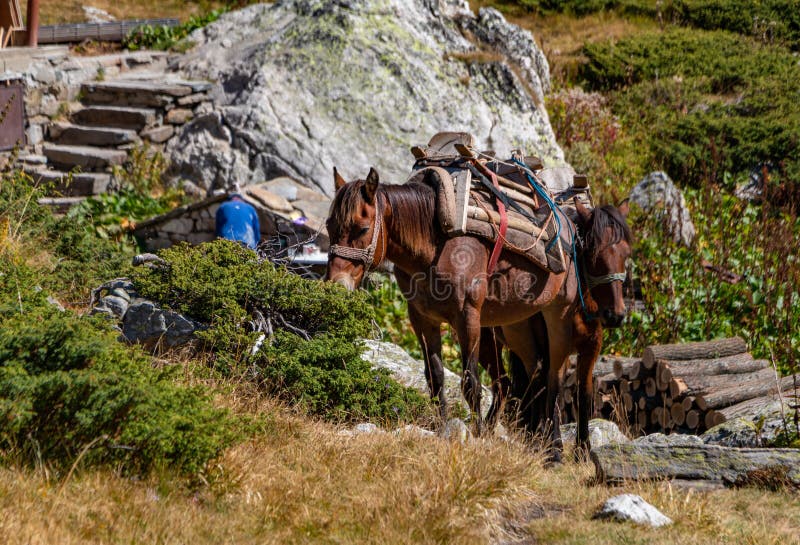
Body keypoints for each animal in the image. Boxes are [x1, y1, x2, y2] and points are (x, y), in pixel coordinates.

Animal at [325, 166, 629, 459]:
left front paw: (477, 434)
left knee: (556, 379)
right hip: (518, 329)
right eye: (329, 225)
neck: (435, 243)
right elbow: (435, 377)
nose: (337, 284)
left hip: (558, 318)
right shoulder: (422, 319)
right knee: (527, 379)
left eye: (362, 228)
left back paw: (558, 449)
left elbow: (470, 383)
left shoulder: (467, 318)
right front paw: (443, 427)